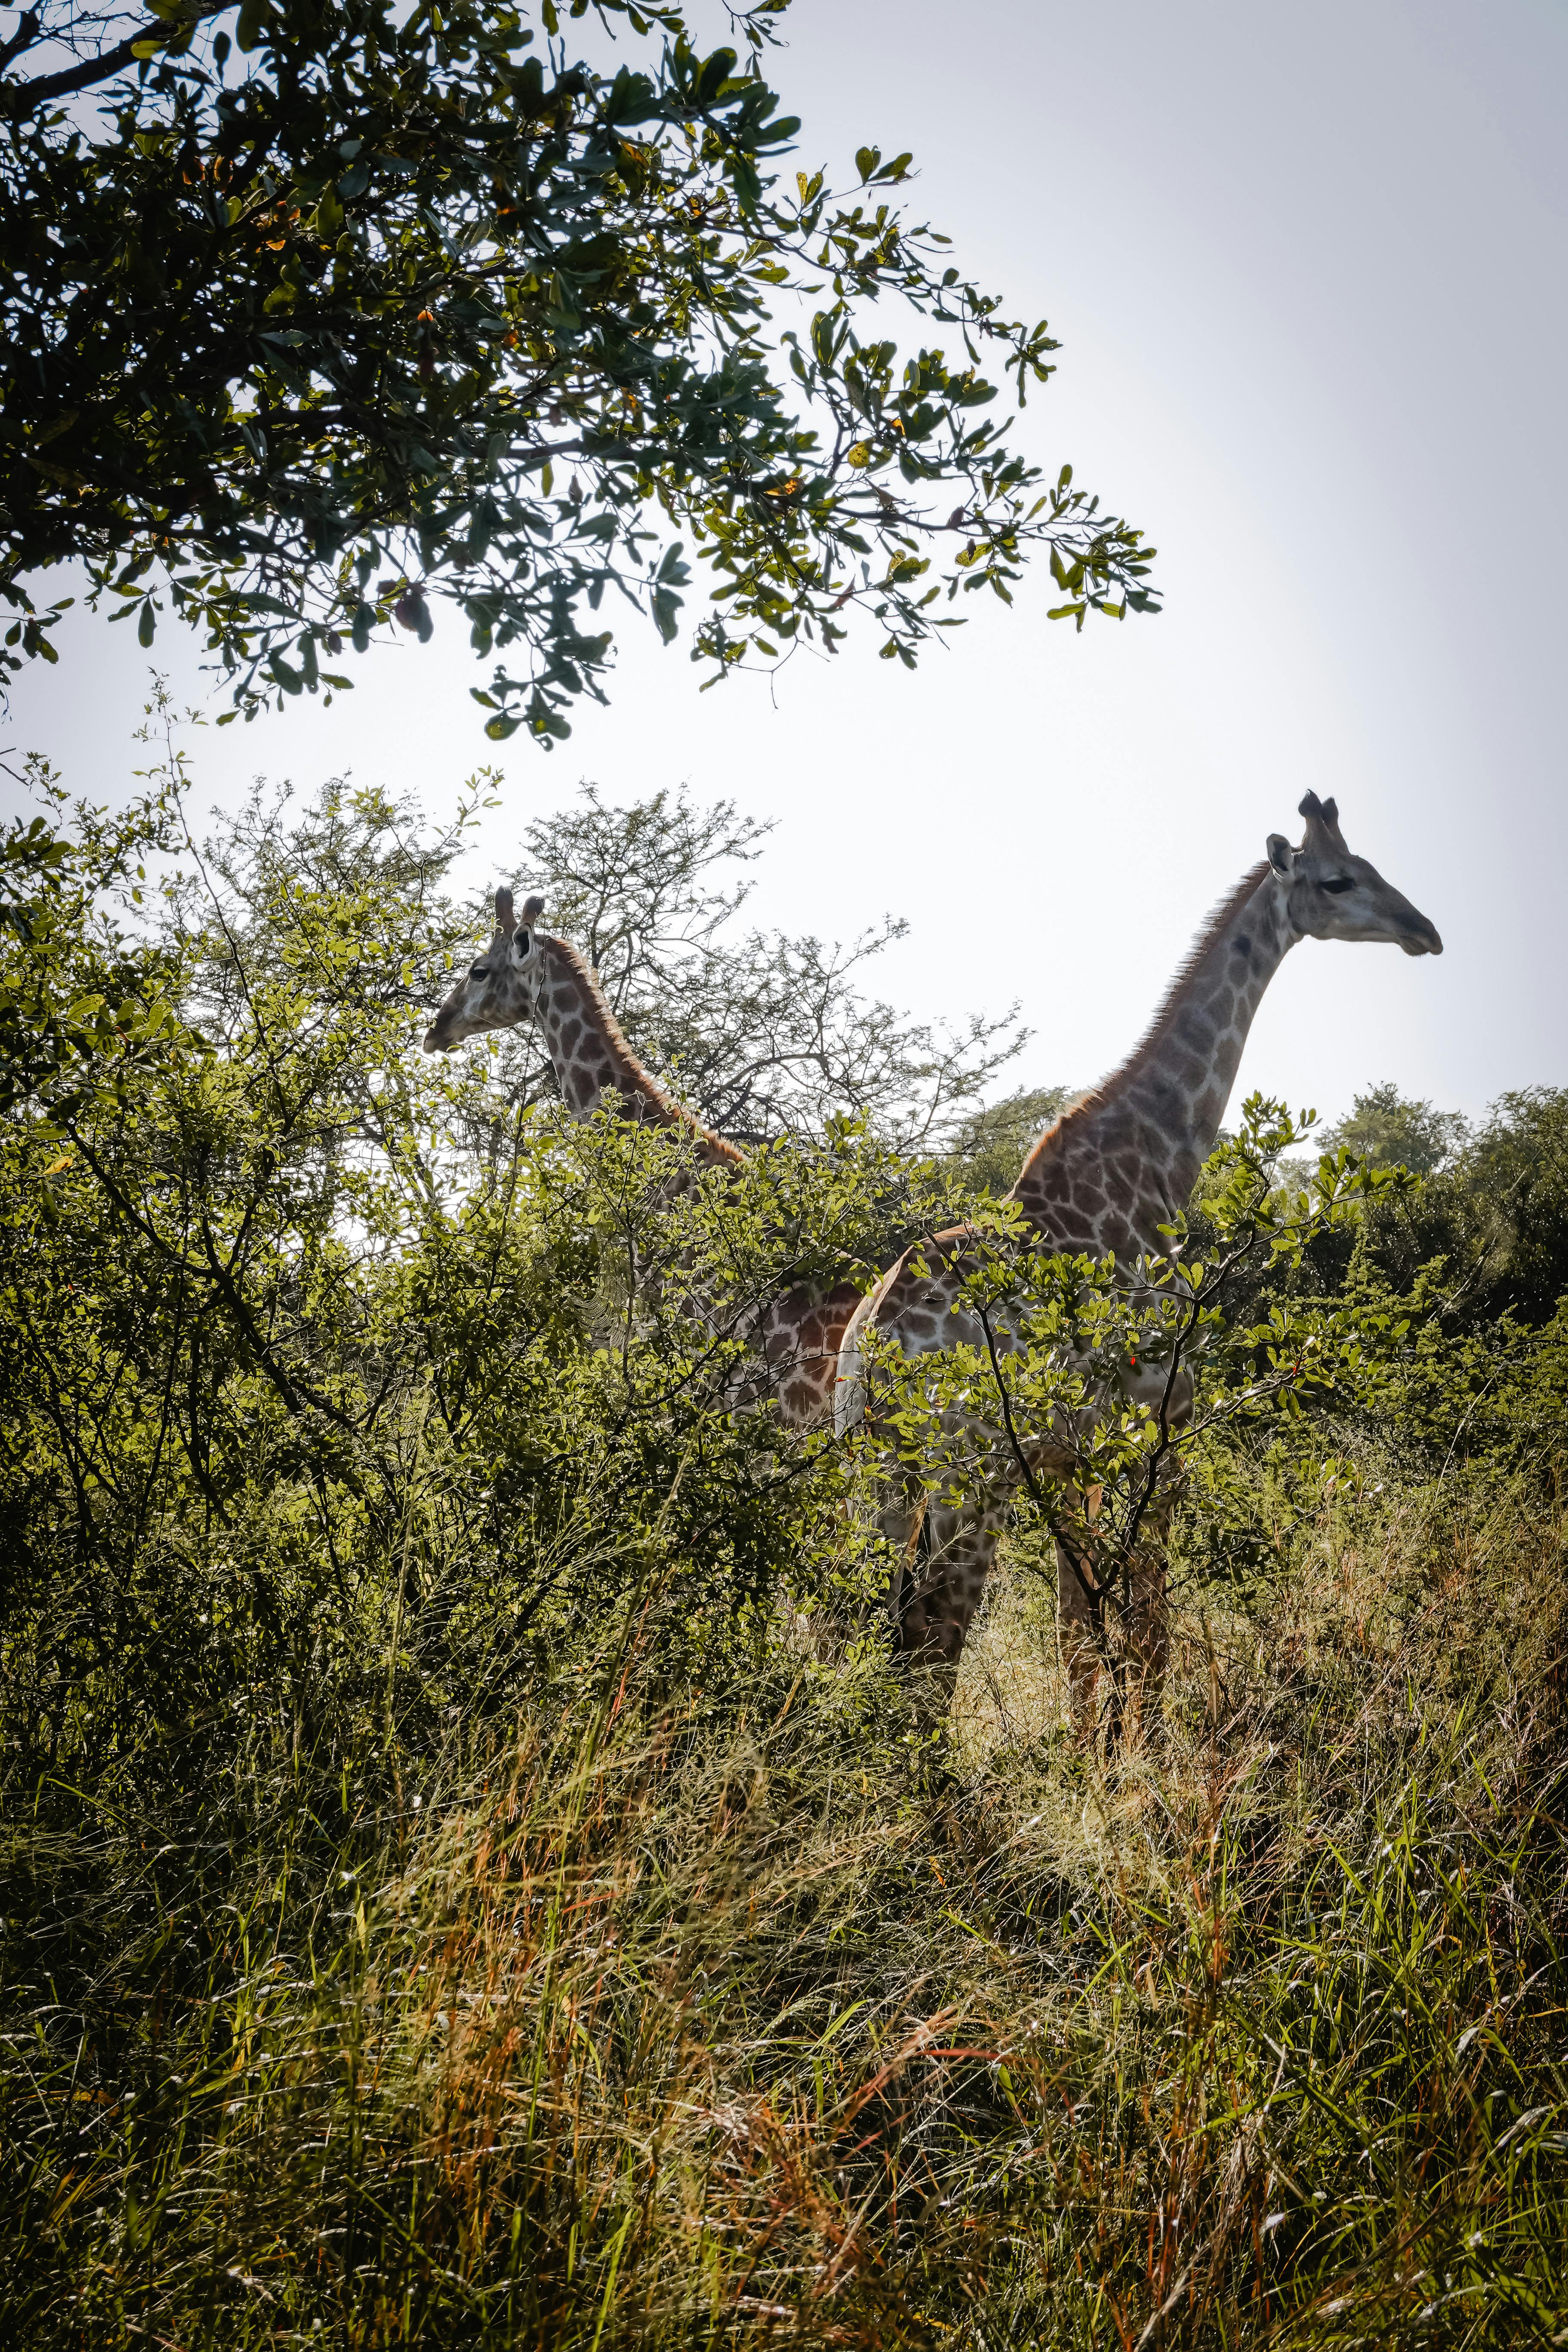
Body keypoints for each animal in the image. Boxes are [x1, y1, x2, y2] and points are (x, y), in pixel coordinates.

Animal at [835, 791, 1443, 1722]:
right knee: (931, 1643)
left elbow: (1079, 1635)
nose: (1425, 930)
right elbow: (1147, 1631)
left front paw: (1094, 1755)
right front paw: (1146, 1761)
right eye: (1339, 880)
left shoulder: (1069, 1459)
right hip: (967, 1477)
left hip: (875, 1475)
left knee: (861, 1630)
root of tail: (873, 1345)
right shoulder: (1160, 1430)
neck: (1158, 1166)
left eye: (1374, 865)